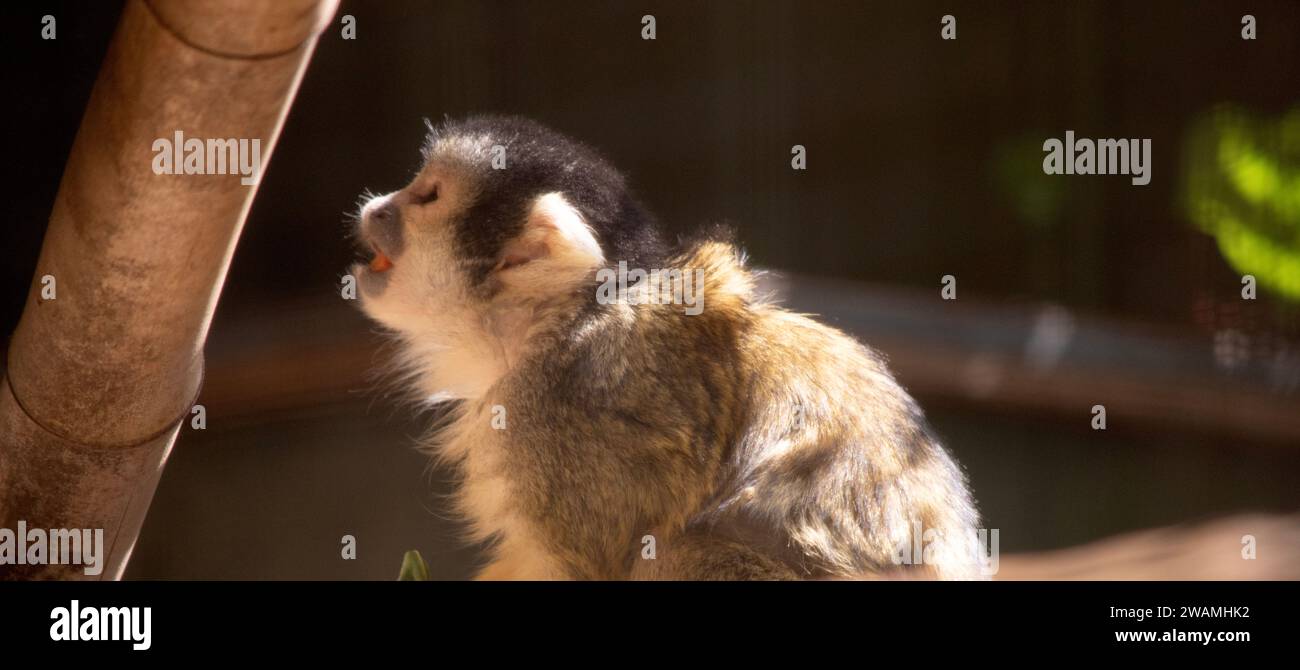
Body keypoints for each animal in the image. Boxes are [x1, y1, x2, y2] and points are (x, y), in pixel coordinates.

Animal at [350, 115, 985, 580]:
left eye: (427, 196)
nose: (378, 206)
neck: (561, 325)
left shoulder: (561, 417)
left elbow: (590, 563)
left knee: (683, 550)